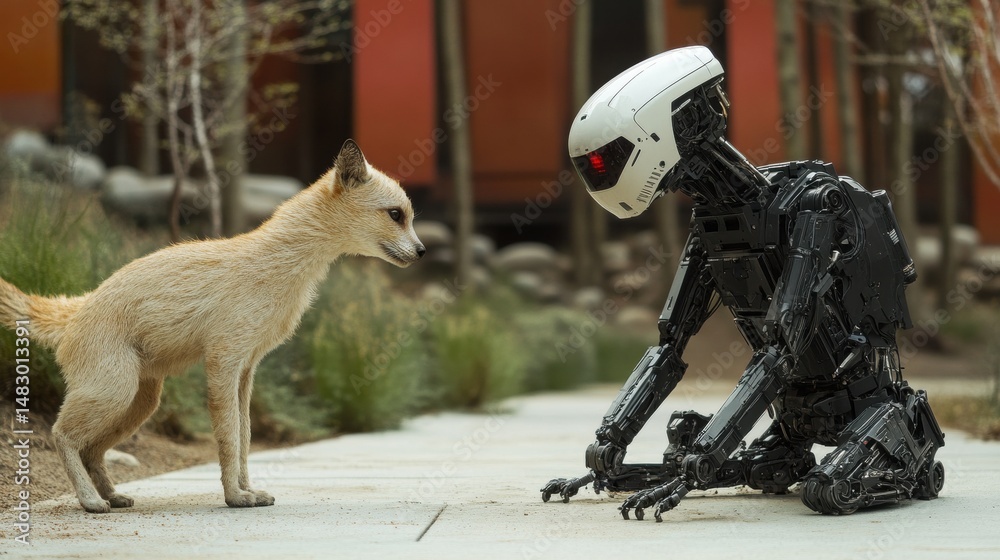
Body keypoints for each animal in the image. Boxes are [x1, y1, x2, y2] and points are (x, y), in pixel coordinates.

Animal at [0, 139, 425, 513]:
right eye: (396, 215)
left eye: (409, 217)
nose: (422, 252)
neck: (275, 266)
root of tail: (78, 306)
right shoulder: (224, 362)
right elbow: (229, 438)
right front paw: (234, 498)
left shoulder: (246, 370)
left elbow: (245, 438)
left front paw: (248, 492)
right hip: (112, 392)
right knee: (61, 435)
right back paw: (90, 502)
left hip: (138, 403)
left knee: (91, 449)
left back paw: (112, 497)